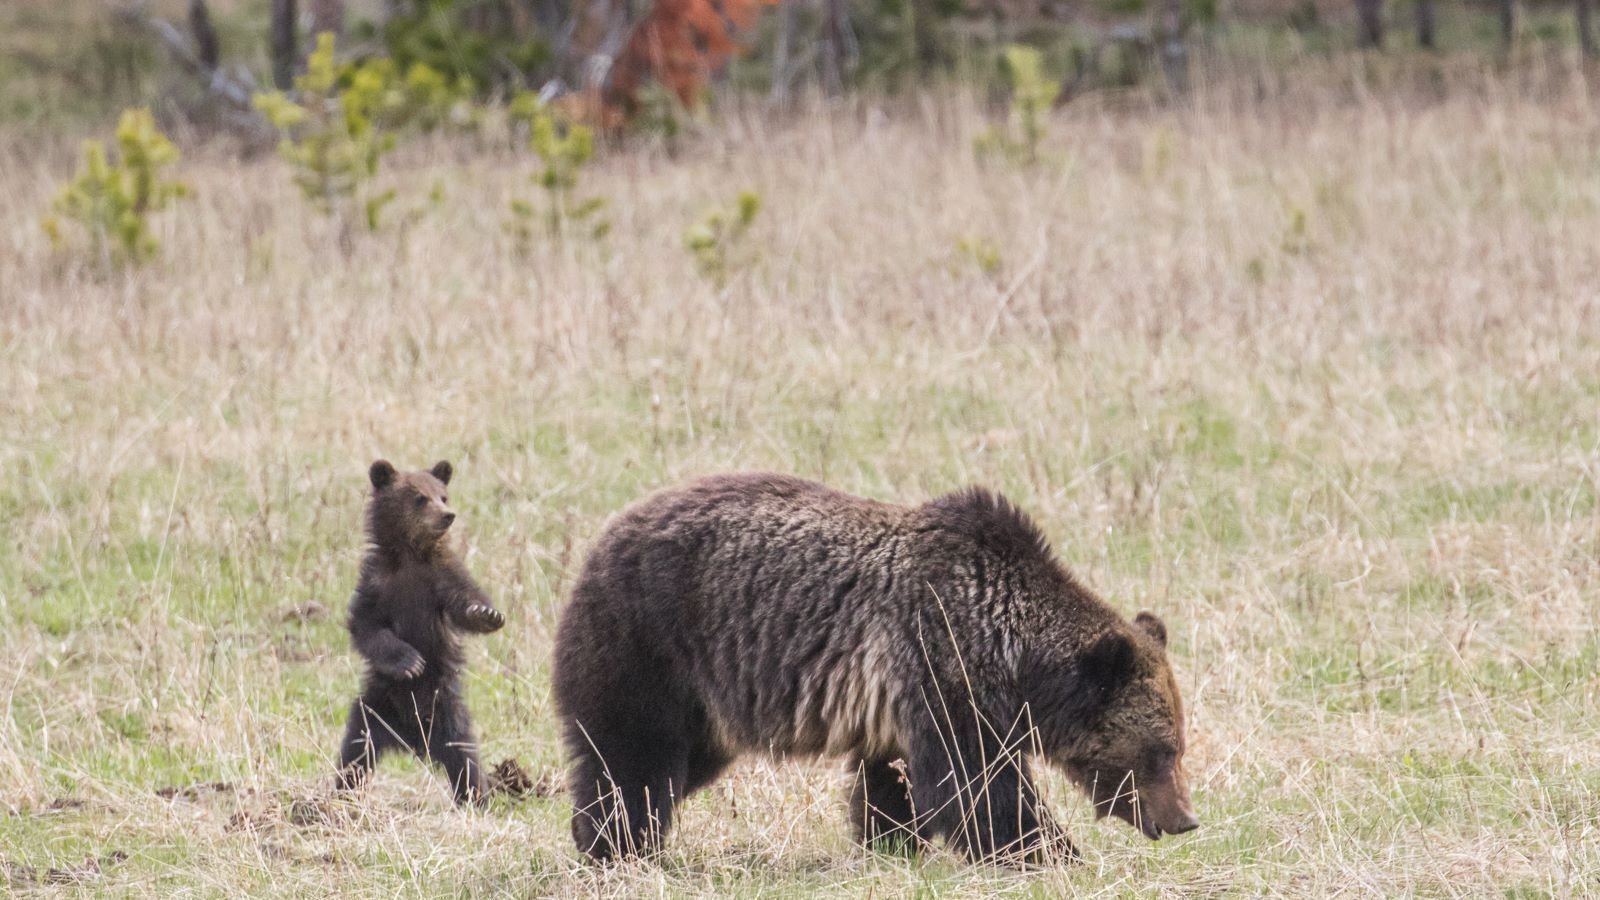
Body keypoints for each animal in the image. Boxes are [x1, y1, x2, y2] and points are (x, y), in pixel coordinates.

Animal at [334, 459, 505, 806]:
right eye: (419, 497)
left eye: (443, 496)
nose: (448, 515)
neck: (410, 557)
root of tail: (413, 740)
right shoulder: (377, 585)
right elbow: (368, 629)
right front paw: (409, 661)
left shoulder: (440, 581)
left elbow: (465, 602)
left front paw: (488, 614)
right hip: (376, 709)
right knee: (356, 749)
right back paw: (340, 792)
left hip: (449, 714)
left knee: (464, 757)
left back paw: (476, 796)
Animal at [552, 472, 1198, 863]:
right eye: (1161, 750)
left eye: (1177, 745)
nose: (1186, 819)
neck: (1013, 660)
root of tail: (606, 534)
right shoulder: (941, 664)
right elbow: (976, 787)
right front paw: (1051, 853)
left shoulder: (895, 704)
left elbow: (891, 785)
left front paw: (891, 845)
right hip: (652, 646)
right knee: (631, 758)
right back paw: (614, 846)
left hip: (705, 707)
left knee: (676, 763)